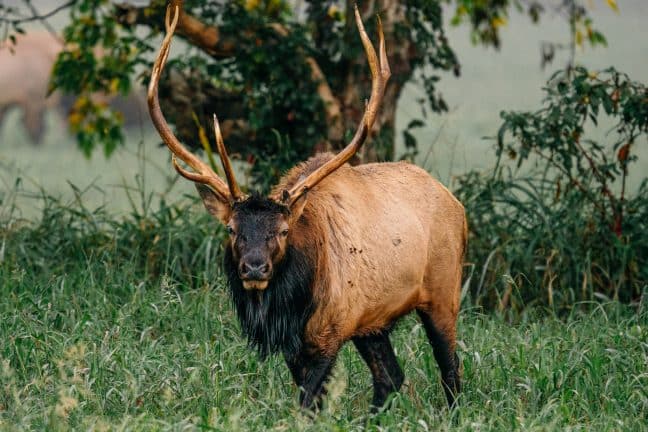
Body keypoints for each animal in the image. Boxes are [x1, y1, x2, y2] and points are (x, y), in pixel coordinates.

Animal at [148, 4, 466, 412]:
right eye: (232, 229)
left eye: (283, 231)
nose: (254, 267)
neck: (289, 309)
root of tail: (457, 204)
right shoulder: (299, 343)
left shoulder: (330, 331)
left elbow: (308, 403)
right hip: (373, 320)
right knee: (391, 378)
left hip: (444, 292)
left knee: (451, 371)